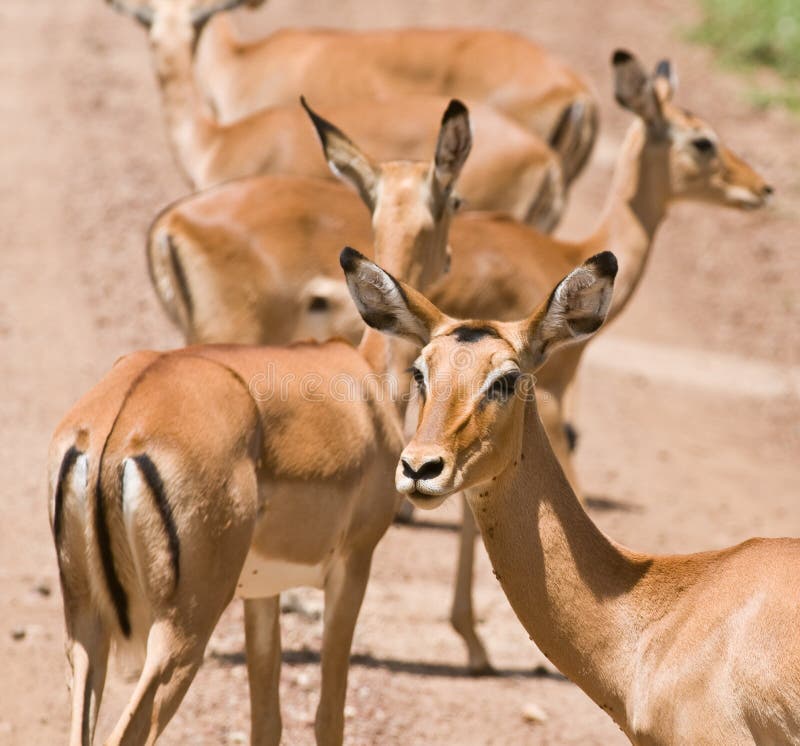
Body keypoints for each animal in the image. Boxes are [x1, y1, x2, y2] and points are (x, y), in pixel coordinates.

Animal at [48, 101, 471, 745]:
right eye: (455, 200)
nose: (449, 259)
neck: (368, 373)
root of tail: (118, 425)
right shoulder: (352, 567)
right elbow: (327, 714)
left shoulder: (260, 591)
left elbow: (266, 719)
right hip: (180, 632)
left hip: (85, 628)